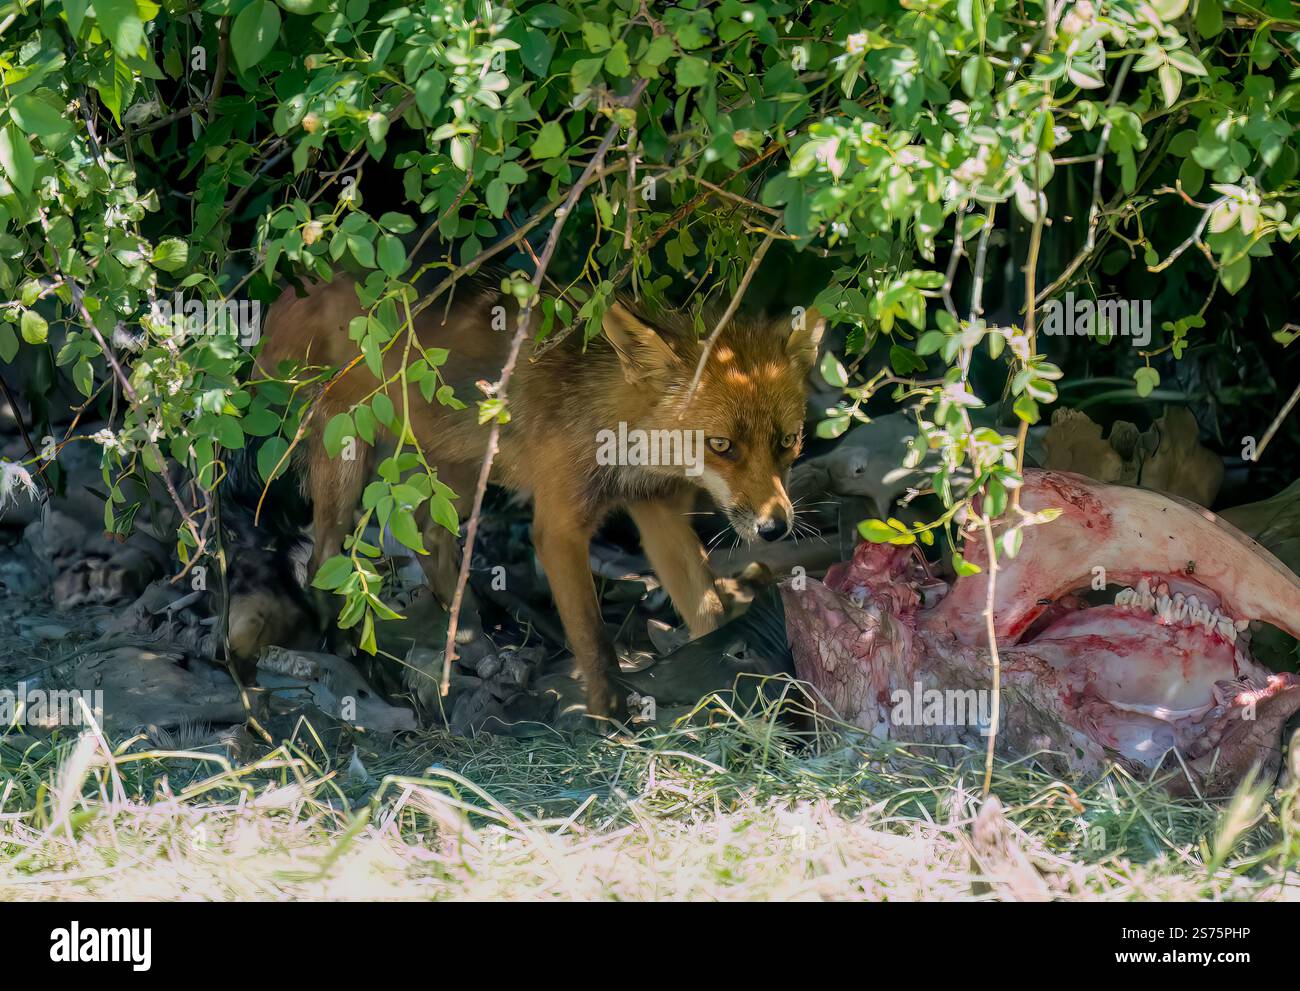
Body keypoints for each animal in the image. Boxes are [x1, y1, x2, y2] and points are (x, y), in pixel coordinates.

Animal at [253, 275, 825, 718]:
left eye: (788, 441)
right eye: (721, 445)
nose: (776, 527)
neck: (613, 429)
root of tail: (299, 286)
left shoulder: (657, 510)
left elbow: (707, 608)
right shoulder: (559, 528)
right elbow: (594, 640)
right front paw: (608, 717)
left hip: (459, 479)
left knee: (433, 542)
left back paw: (470, 641)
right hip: (348, 465)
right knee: (324, 562)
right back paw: (351, 654)